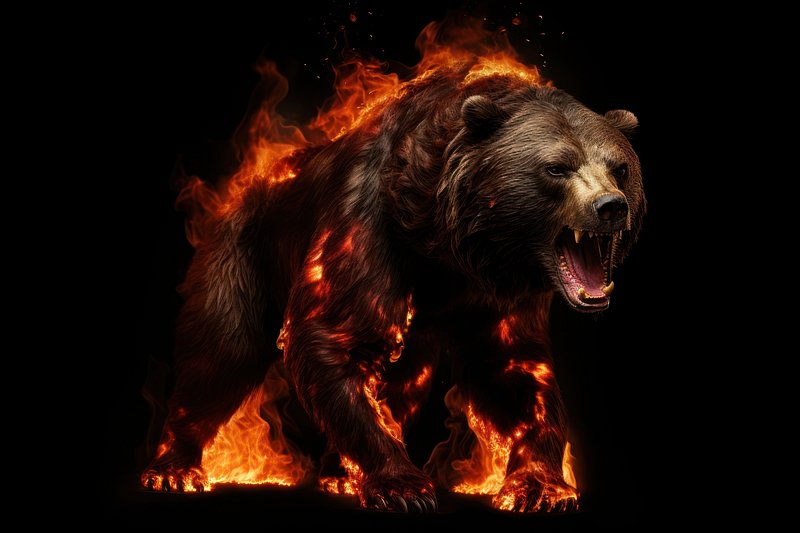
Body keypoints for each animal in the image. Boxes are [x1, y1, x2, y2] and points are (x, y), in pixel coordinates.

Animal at [141, 66, 644, 514]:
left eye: (619, 167)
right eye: (558, 167)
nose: (610, 206)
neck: (445, 244)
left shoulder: (498, 296)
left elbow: (514, 371)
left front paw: (539, 488)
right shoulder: (365, 230)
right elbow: (333, 338)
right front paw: (402, 486)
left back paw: (339, 474)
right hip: (241, 255)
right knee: (220, 355)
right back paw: (174, 468)